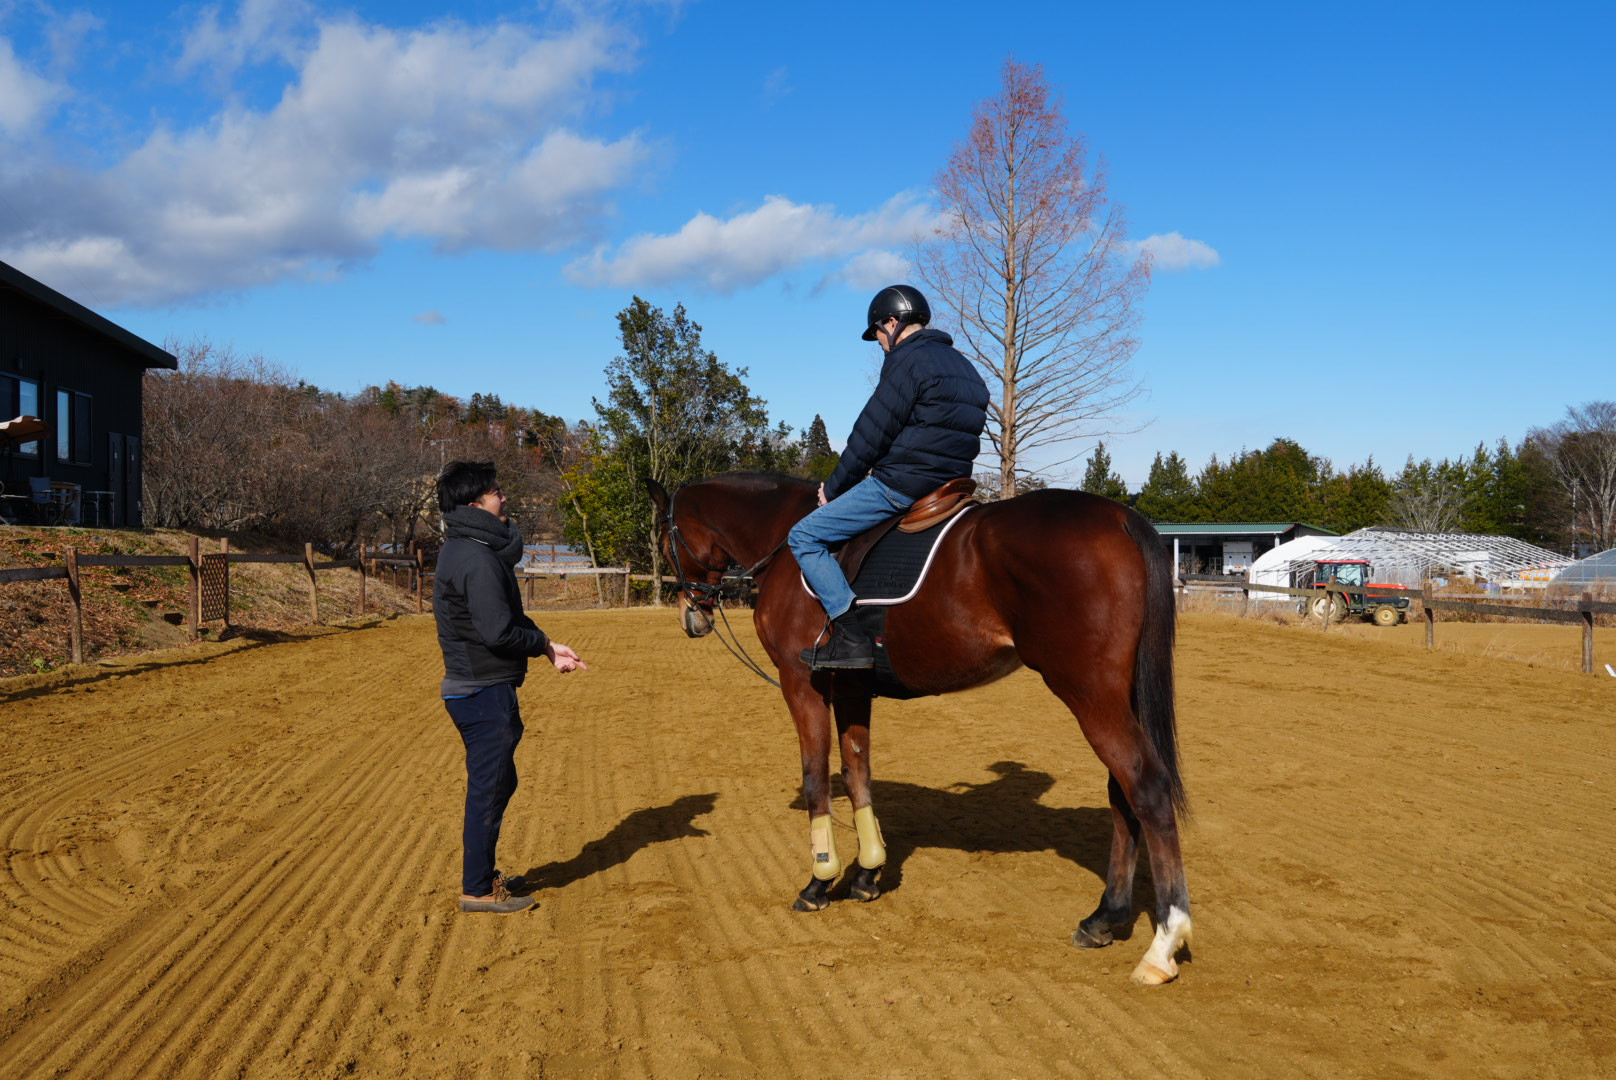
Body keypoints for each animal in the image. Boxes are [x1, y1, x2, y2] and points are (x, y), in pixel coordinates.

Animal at [647, 472, 1191, 985]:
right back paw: (1105, 917)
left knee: (1146, 787)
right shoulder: (851, 687)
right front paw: (867, 874)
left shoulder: (801, 684)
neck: (785, 540)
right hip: (1114, 695)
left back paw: (1162, 946)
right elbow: (857, 771)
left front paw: (820, 880)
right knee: (1121, 793)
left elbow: (815, 777)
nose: (691, 616)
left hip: (1088, 692)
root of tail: (1120, 517)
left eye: (663, 538)